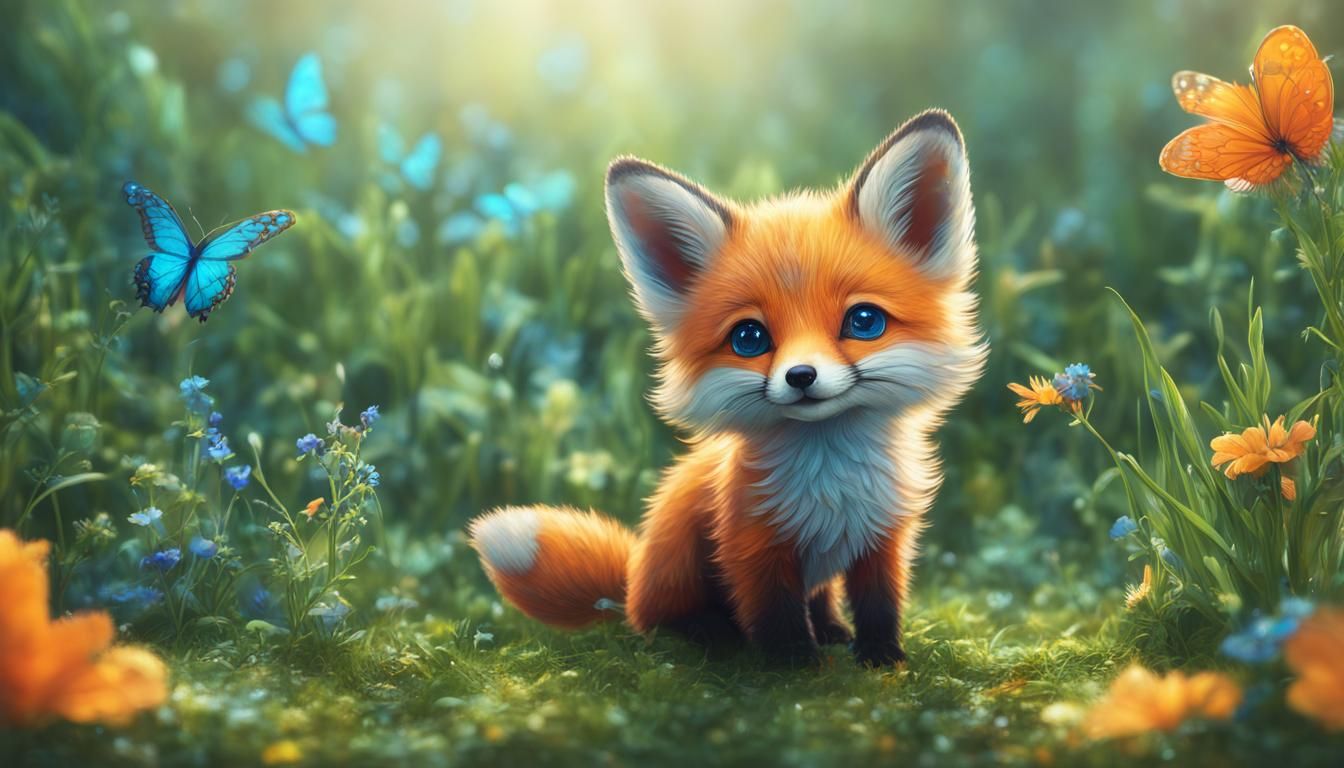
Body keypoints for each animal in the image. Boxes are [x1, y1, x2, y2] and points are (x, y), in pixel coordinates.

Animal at [469, 109, 986, 666]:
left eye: (864, 321)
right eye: (749, 337)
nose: (801, 376)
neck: (832, 487)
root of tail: (629, 586)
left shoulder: (882, 540)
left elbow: (879, 605)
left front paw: (881, 658)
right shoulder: (751, 546)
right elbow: (776, 618)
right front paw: (795, 668)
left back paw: (830, 631)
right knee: (663, 623)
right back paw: (709, 634)